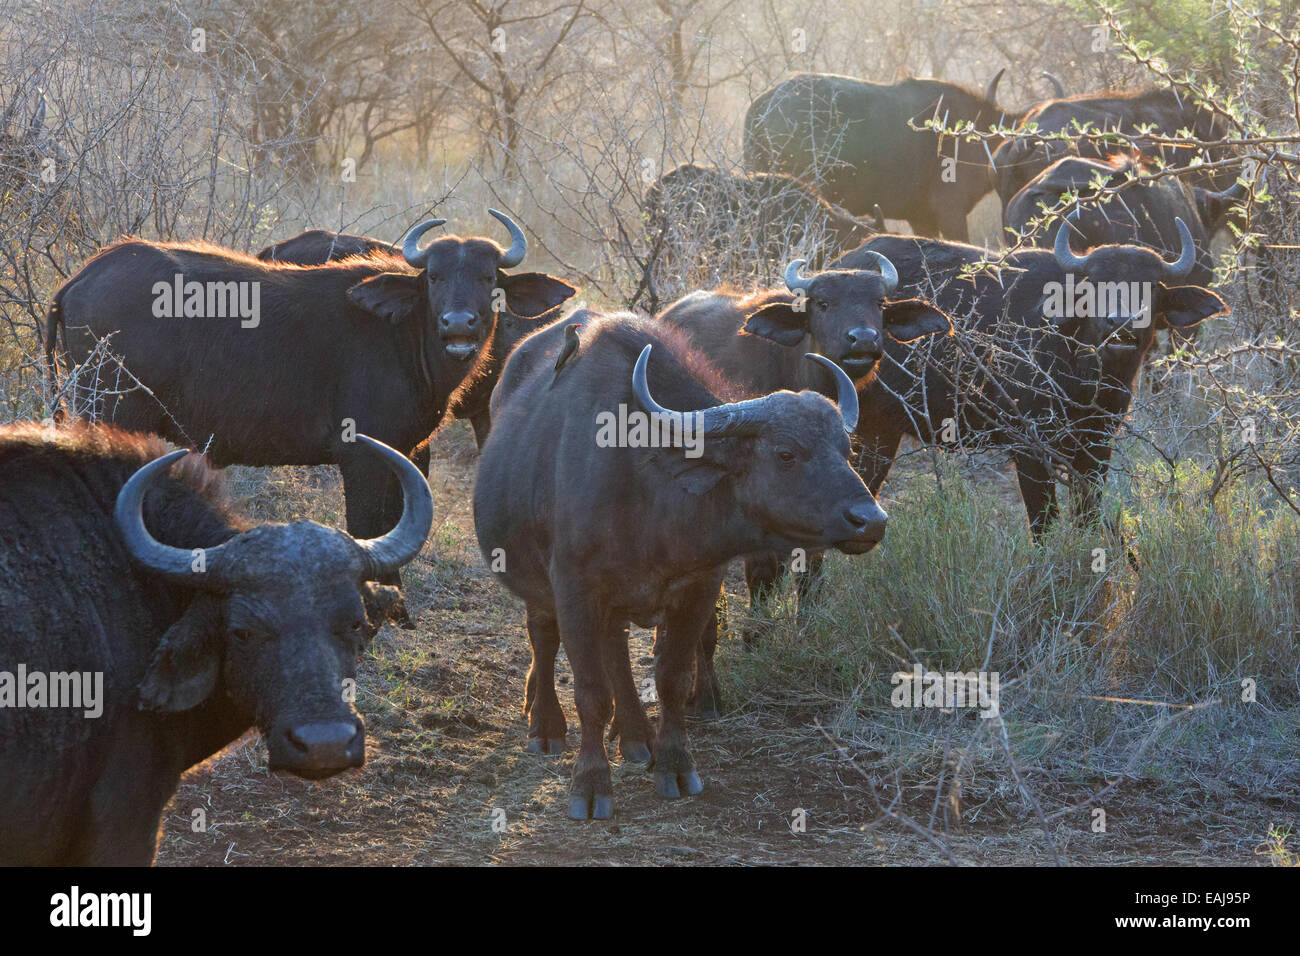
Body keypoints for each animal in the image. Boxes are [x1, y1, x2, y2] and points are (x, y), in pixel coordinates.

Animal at [45, 211, 575, 590]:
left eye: (488, 277)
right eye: (435, 277)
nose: (458, 324)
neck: (402, 336)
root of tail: (79, 280)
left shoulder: (408, 452)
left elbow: (396, 523)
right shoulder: (362, 455)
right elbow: (368, 525)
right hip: (108, 412)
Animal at [474, 312, 885, 818]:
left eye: (846, 450)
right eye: (786, 454)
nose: (870, 520)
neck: (645, 482)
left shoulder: (698, 588)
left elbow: (672, 677)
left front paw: (674, 764)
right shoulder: (575, 591)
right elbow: (590, 692)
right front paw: (590, 784)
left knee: (616, 652)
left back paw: (635, 735)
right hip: (537, 582)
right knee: (543, 636)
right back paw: (547, 723)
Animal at [835, 218, 1229, 538]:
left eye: (1150, 286)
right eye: (1094, 285)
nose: (1121, 324)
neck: (1086, 379)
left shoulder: (1098, 445)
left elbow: (1087, 516)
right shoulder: (1028, 447)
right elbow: (1044, 522)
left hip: (880, 431)